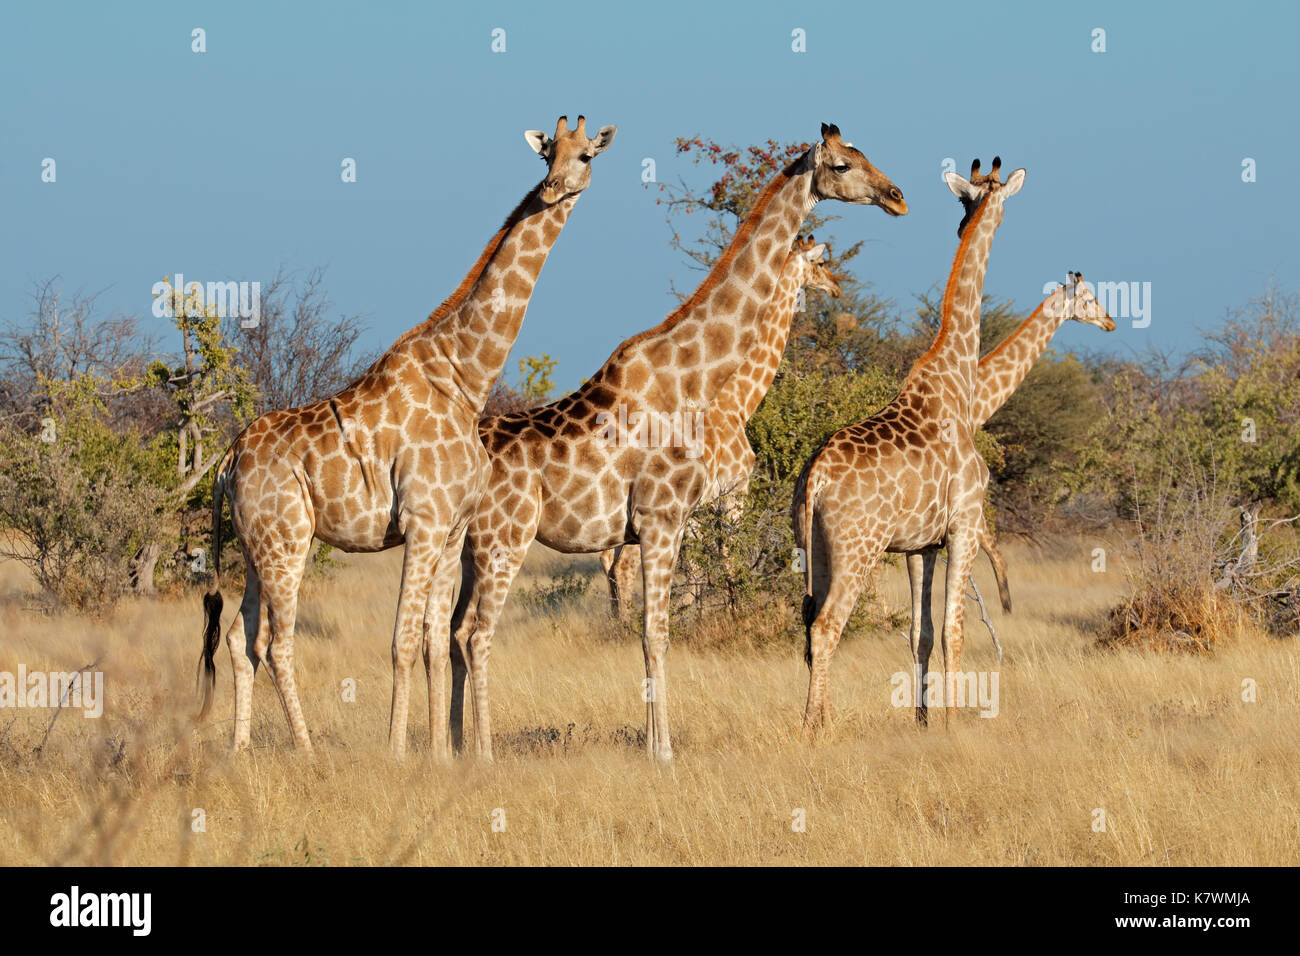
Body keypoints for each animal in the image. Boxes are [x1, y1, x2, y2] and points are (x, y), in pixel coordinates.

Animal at [196, 115, 616, 755]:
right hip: (286, 540)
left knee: (240, 641)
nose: (551, 189)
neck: (466, 376)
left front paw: (441, 755)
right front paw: (397, 753)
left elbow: (436, 643)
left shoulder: (452, 528)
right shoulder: (422, 521)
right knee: (275, 642)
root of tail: (225, 461)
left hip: (251, 547)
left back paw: (239, 753)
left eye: (585, 155)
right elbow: (402, 640)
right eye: (548, 154)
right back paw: (307, 752)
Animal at [598, 235, 843, 620]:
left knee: (608, 561)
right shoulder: (734, 490)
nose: (836, 287)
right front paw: (733, 610)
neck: (738, 401)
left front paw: (696, 614)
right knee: (622, 566)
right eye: (820, 263)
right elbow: (727, 554)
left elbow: (700, 565)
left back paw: (618, 621)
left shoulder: (702, 505)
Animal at [794, 157, 1023, 732]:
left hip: (815, 546)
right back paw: (815, 728)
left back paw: (820, 720)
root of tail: (817, 476)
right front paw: (953, 722)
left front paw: (922, 721)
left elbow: (921, 633)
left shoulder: (921, 543)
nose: (967, 224)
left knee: (808, 623)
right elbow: (954, 631)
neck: (958, 377)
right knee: (826, 626)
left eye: (966, 200)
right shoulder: (964, 524)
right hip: (858, 548)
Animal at [905, 271, 1116, 666]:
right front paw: (1005, 602)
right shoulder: (967, 499)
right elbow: (992, 550)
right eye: (1090, 298)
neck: (980, 402)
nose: (1110, 322)